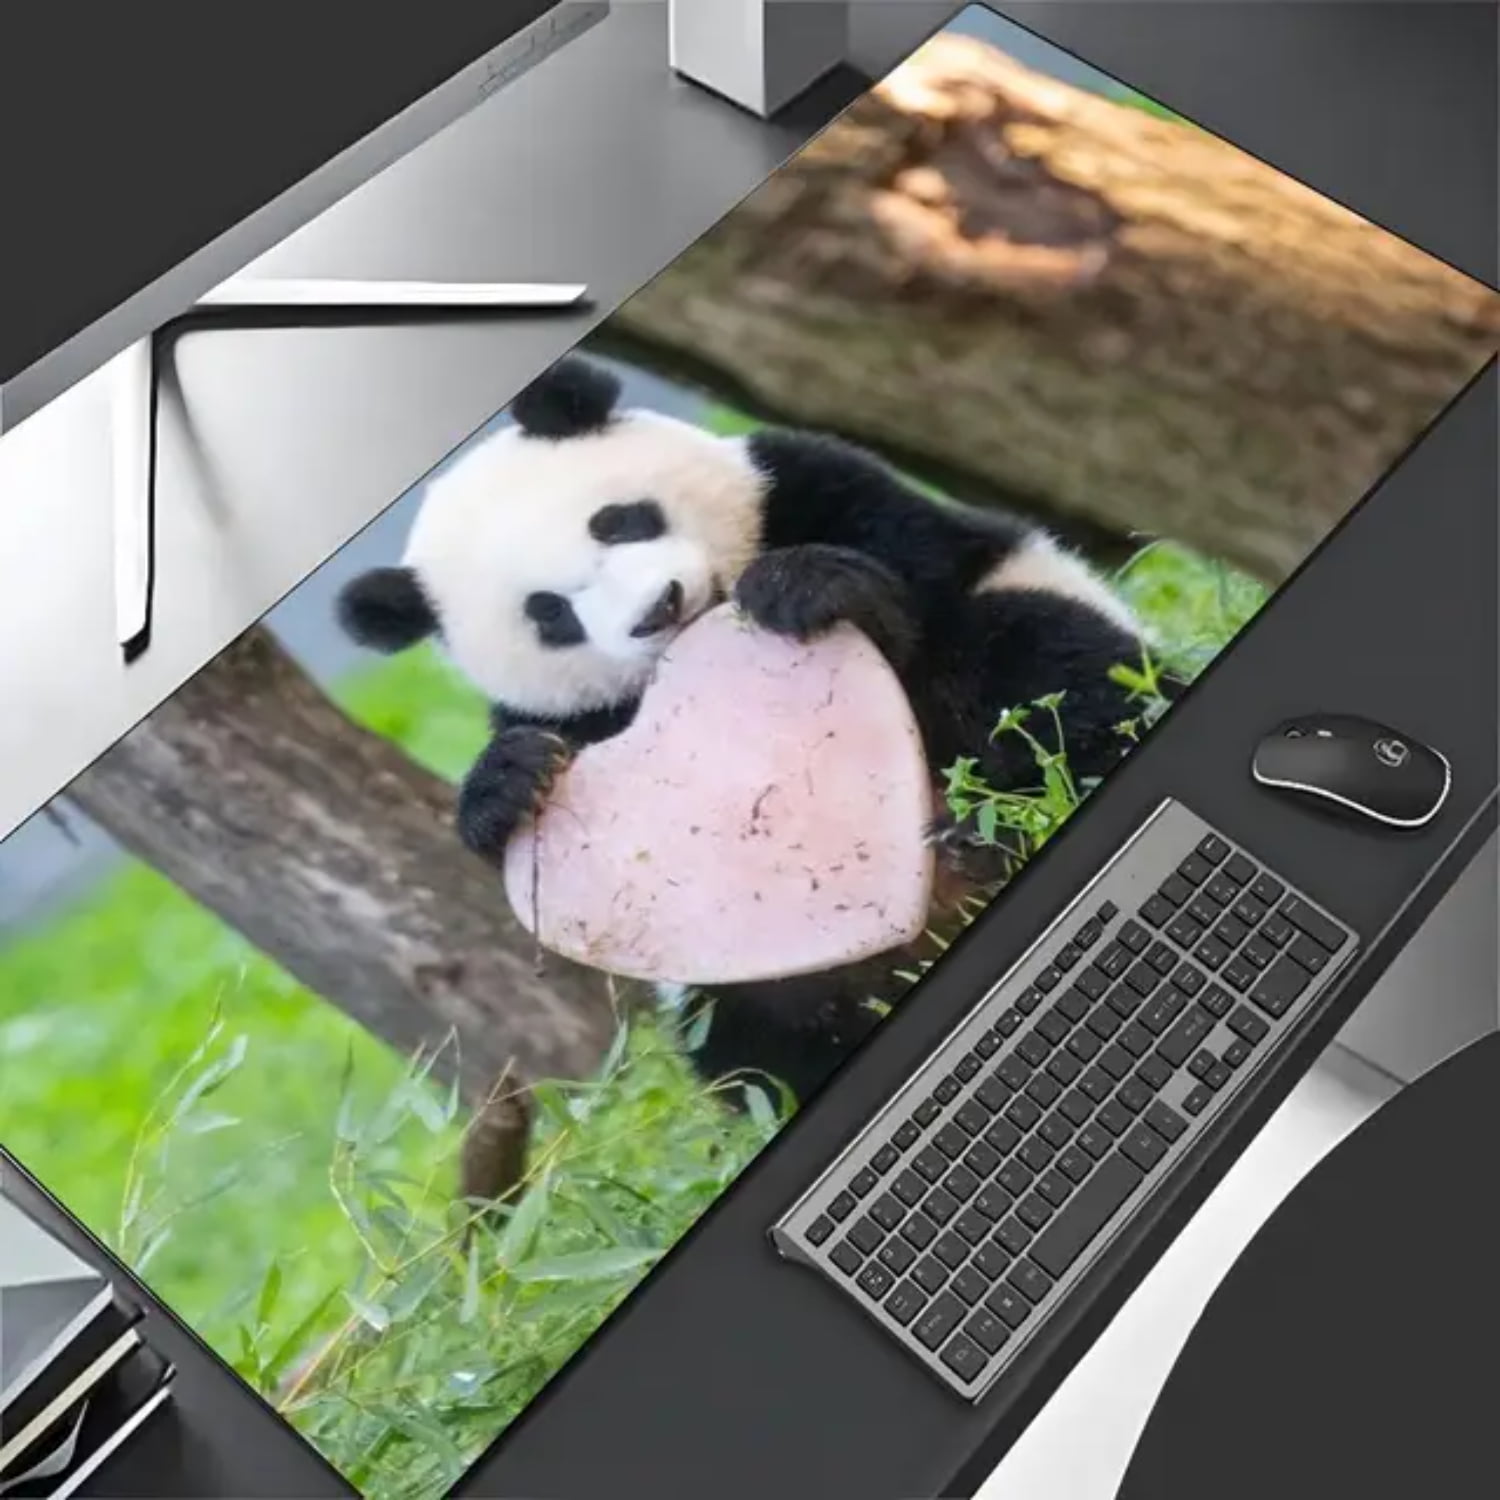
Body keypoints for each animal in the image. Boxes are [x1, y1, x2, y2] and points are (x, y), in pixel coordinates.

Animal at [338, 355, 1163, 1107]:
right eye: (549, 613)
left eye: (619, 520)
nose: (657, 608)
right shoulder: (560, 713)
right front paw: (510, 782)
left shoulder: (804, 481)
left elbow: (925, 589)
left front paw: (806, 587)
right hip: (744, 988)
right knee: (759, 1045)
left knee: (1044, 670)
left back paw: (989, 828)